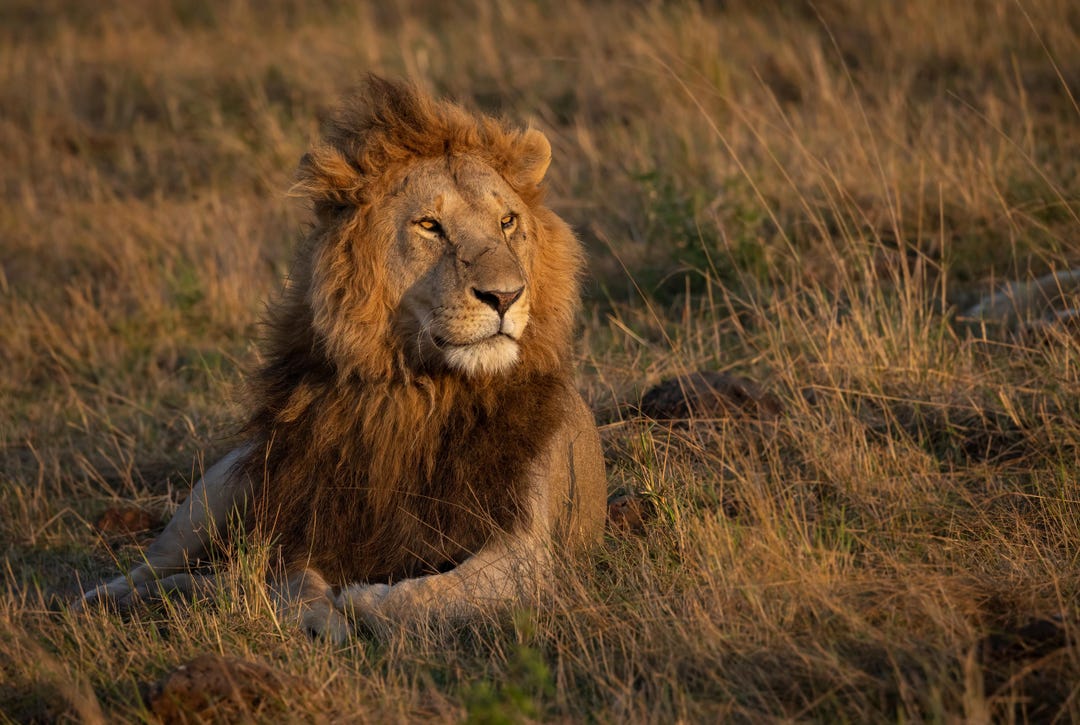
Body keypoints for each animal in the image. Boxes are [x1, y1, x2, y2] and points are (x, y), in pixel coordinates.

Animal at [77, 77, 607, 641]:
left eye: (507, 222)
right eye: (429, 225)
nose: (505, 296)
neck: (422, 390)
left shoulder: (527, 551)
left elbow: (433, 596)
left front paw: (358, 601)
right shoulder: (304, 518)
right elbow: (292, 579)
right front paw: (314, 615)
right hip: (224, 488)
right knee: (154, 564)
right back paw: (104, 599)